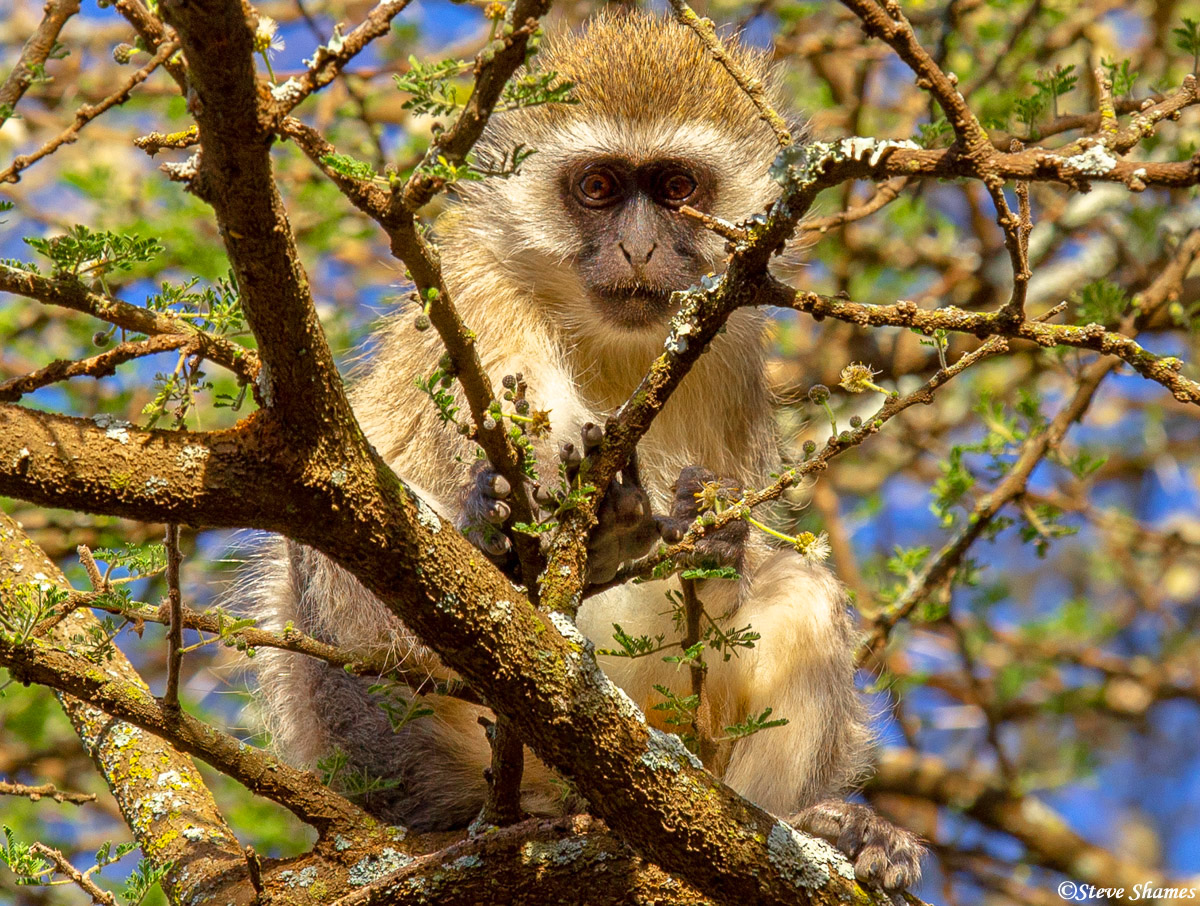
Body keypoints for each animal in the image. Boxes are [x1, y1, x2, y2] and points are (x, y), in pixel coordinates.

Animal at [242, 11, 923, 890]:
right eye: (598, 188)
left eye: (677, 190)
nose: (637, 250)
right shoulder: (473, 291)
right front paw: (529, 510)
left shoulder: (730, 348)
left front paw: (707, 540)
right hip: (387, 746)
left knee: (800, 592)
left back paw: (811, 826)